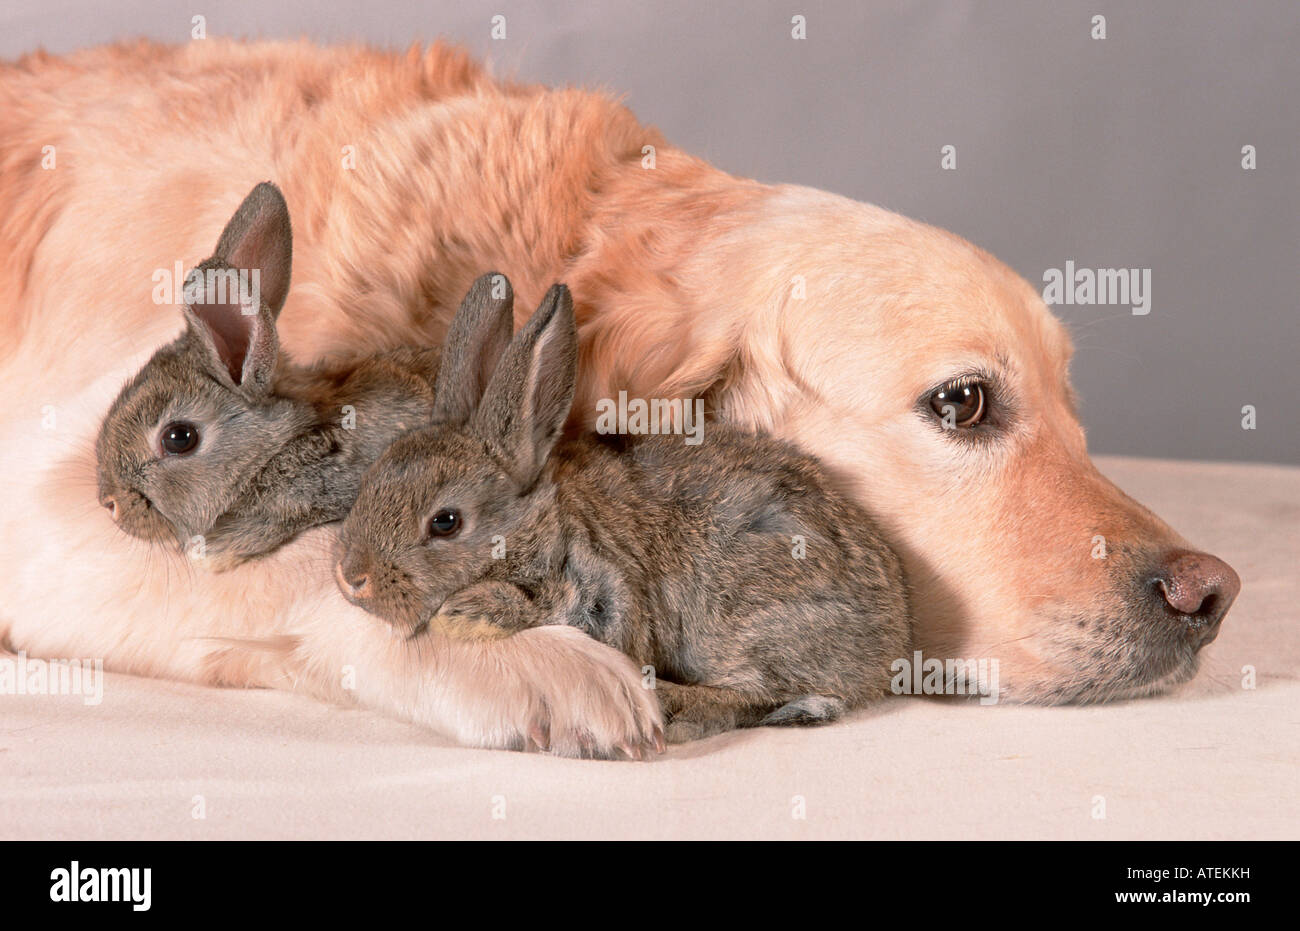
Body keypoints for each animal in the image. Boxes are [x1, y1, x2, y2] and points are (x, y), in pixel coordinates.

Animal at [336, 275, 912, 744]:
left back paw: (679, 708)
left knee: (760, 692)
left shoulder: (603, 591)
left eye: (446, 522)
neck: (536, 527)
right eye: (372, 479)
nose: (350, 578)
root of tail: (892, 639)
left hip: (746, 621)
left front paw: (467, 613)